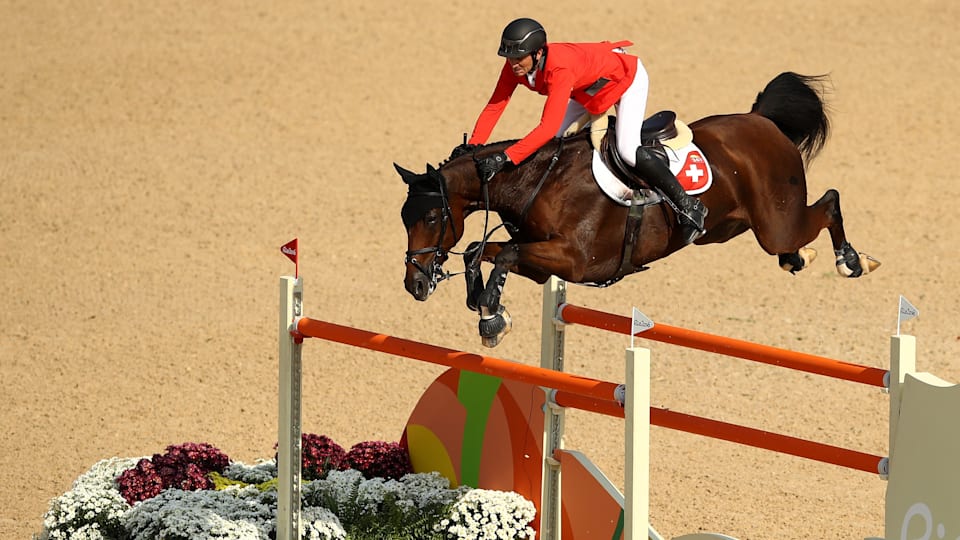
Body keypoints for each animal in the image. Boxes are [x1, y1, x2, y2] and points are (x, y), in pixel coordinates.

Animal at [396, 72, 880, 347]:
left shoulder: (576, 261)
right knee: (795, 236)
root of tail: (761, 119)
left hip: (775, 222)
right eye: (404, 219)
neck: (537, 182)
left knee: (828, 203)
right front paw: (485, 306)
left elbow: (503, 254)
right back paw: (800, 258)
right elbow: (480, 250)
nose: (414, 285)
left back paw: (851, 261)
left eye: (433, 217)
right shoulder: (541, 261)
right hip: (730, 227)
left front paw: (491, 315)